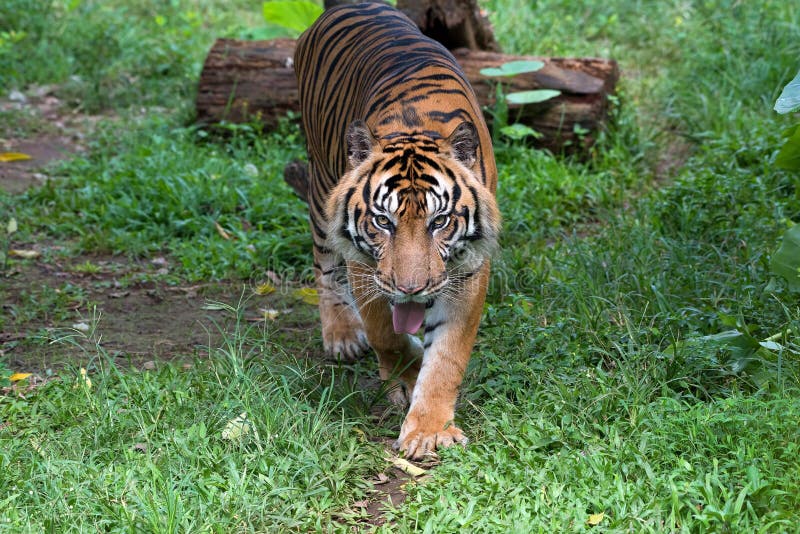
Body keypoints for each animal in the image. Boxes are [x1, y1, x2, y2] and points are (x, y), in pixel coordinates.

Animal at [294, 1, 500, 459]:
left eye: (439, 222)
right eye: (383, 222)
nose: (410, 289)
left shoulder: (469, 271)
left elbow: (447, 356)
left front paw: (429, 430)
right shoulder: (362, 264)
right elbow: (384, 332)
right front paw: (405, 375)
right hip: (319, 186)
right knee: (323, 263)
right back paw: (341, 334)